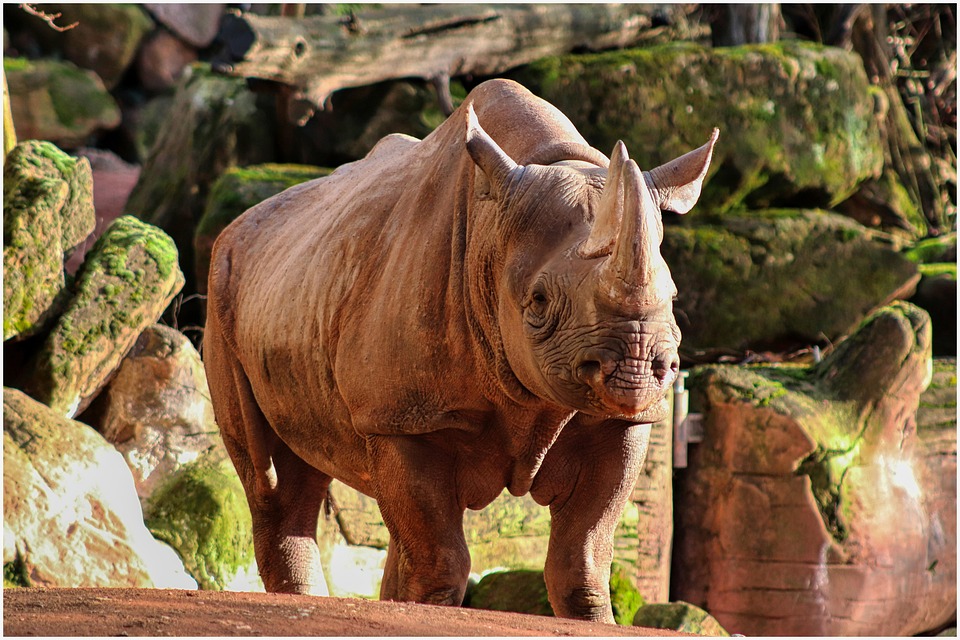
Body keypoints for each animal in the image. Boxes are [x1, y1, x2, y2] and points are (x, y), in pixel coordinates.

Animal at [204, 79, 717, 623]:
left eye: (673, 297)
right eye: (538, 301)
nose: (637, 369)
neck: (493, 239)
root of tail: (237, 225)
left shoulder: (618, 422)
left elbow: (583, 558)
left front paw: (593, 618)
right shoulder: (402, 416)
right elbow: (442, 559)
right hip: (225, 285)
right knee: (271, 478)